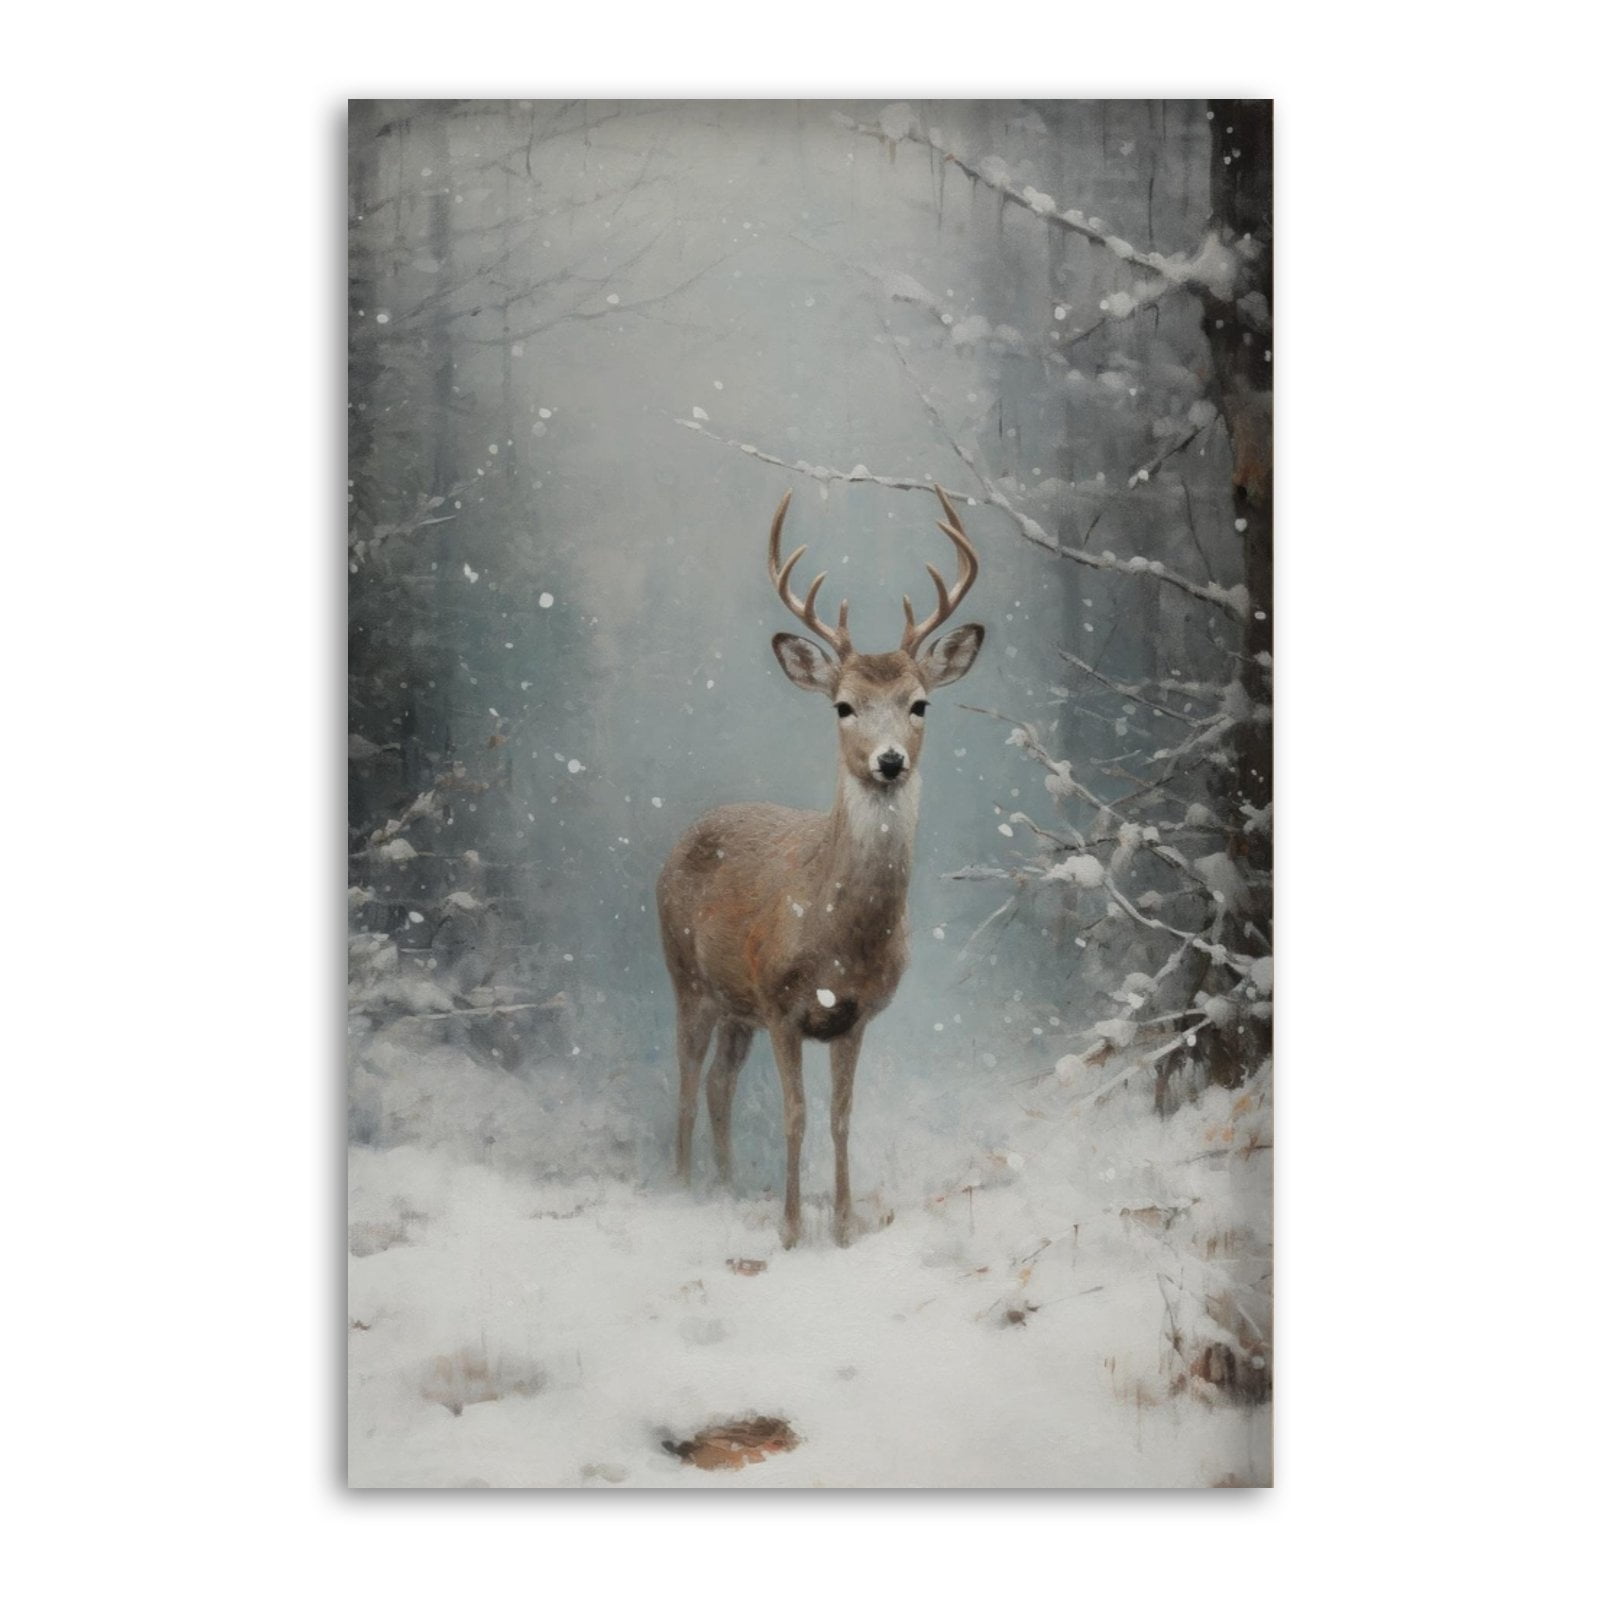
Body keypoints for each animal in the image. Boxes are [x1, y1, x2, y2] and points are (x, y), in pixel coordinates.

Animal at [656, 486, 983, 1248]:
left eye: (919, 703)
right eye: (843, 706)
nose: (889, 760)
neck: (839, 938)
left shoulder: (853, 1016)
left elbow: (839, 1118)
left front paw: (842, 1227)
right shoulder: (781, 1003)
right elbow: (796, 1116)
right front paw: (789, 1229)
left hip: (735, 1004)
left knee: (718, 1083)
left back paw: (726, 1186)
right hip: (688, 977)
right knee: (685, 1079)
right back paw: (683, 1188)